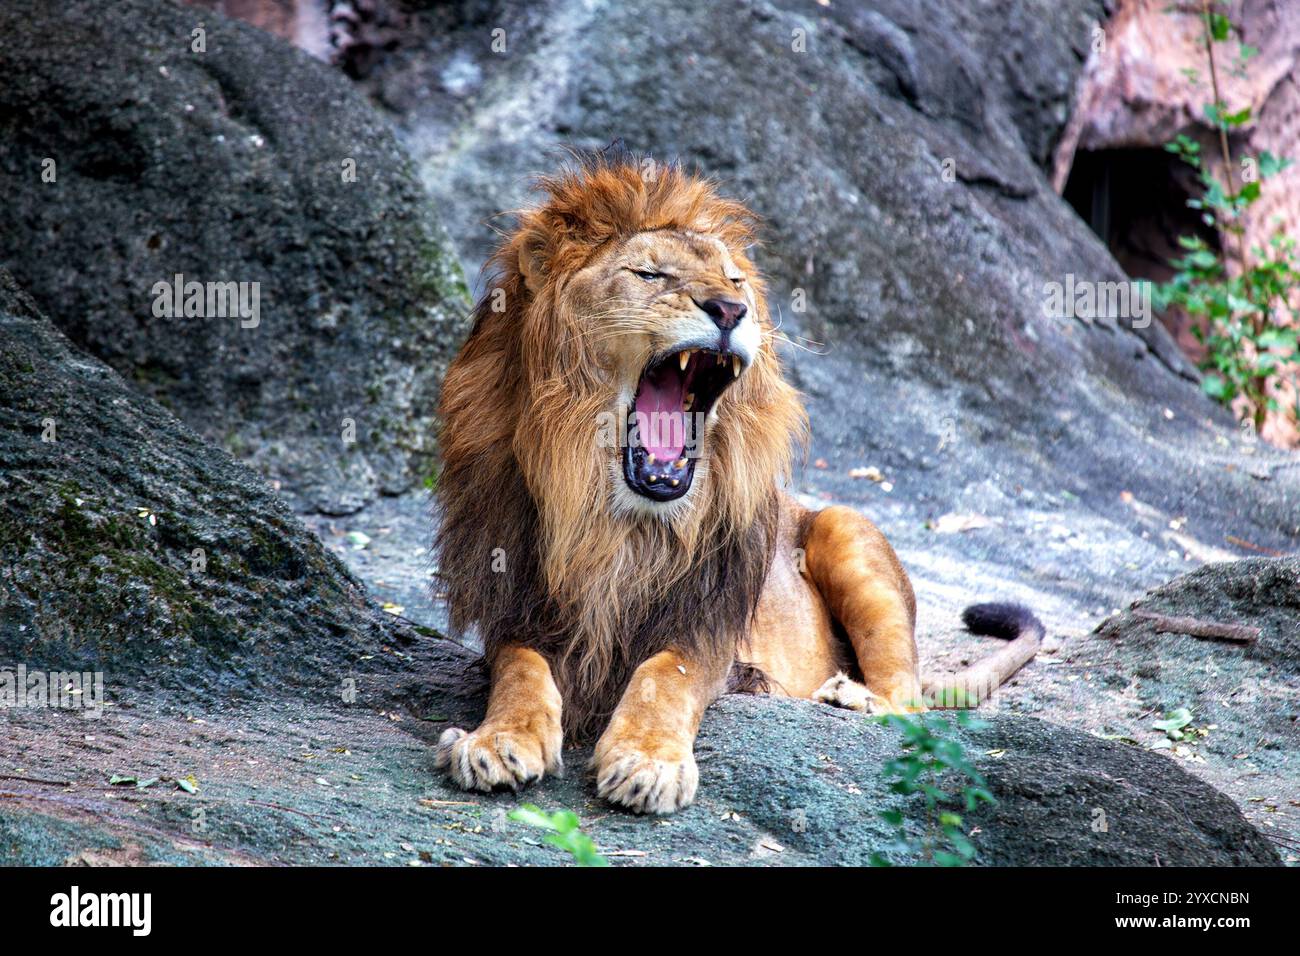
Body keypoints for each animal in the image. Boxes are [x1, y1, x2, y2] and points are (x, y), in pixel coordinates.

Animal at [434, 150, 1041, 814]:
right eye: (649, 274)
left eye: (735, 282)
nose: (729, 312)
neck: (613, 521)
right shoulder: (511, 601)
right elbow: (520, 669)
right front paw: (497, 741)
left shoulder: (706, 624)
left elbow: (664, 677)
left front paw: (648, 761)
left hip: (843, 528)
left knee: (909, 703)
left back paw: (850, 694)